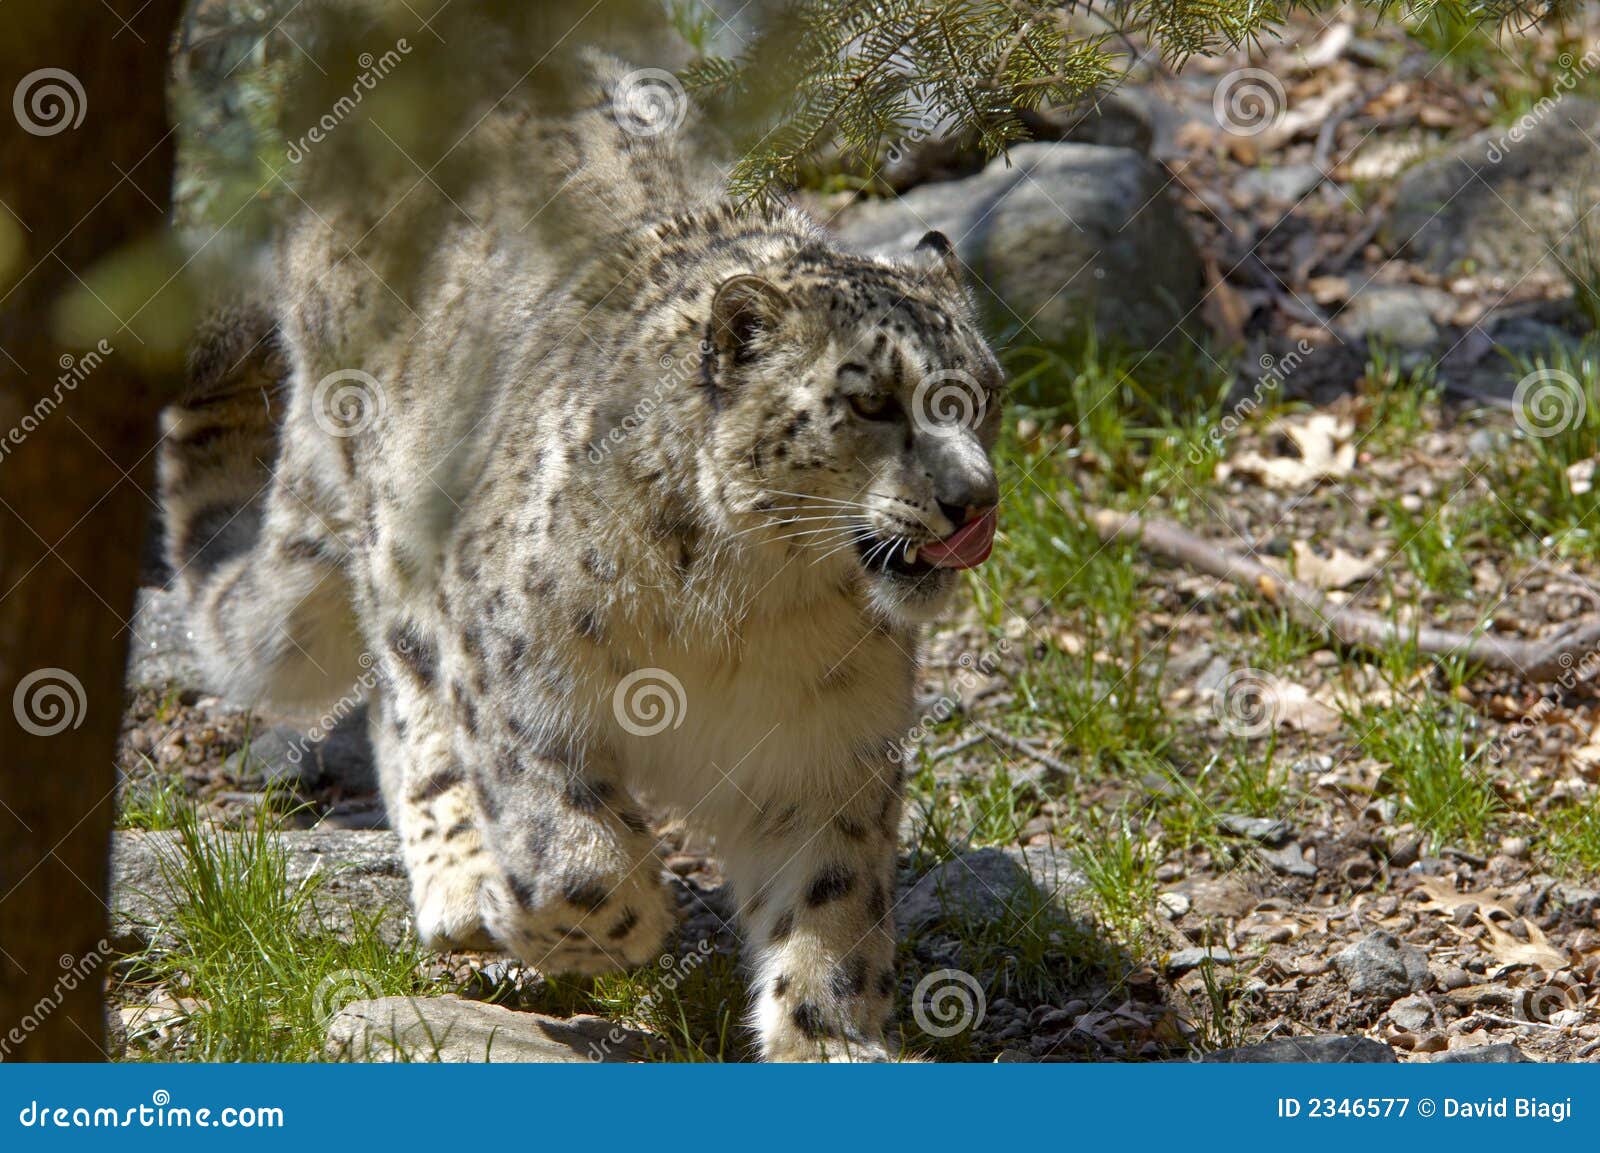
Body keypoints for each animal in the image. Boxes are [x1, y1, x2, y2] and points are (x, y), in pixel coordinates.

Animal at [157, 50, 1003, 1061]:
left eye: (984, 393)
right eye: (871, 399)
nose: (975, 499)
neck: (755, 604)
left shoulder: (829, 750)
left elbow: (831, 905)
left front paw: (827, 1038)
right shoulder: (520, 676)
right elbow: (575, 858)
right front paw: (570, 919)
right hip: (396, 526)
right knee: (407, 708)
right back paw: (459, 881)